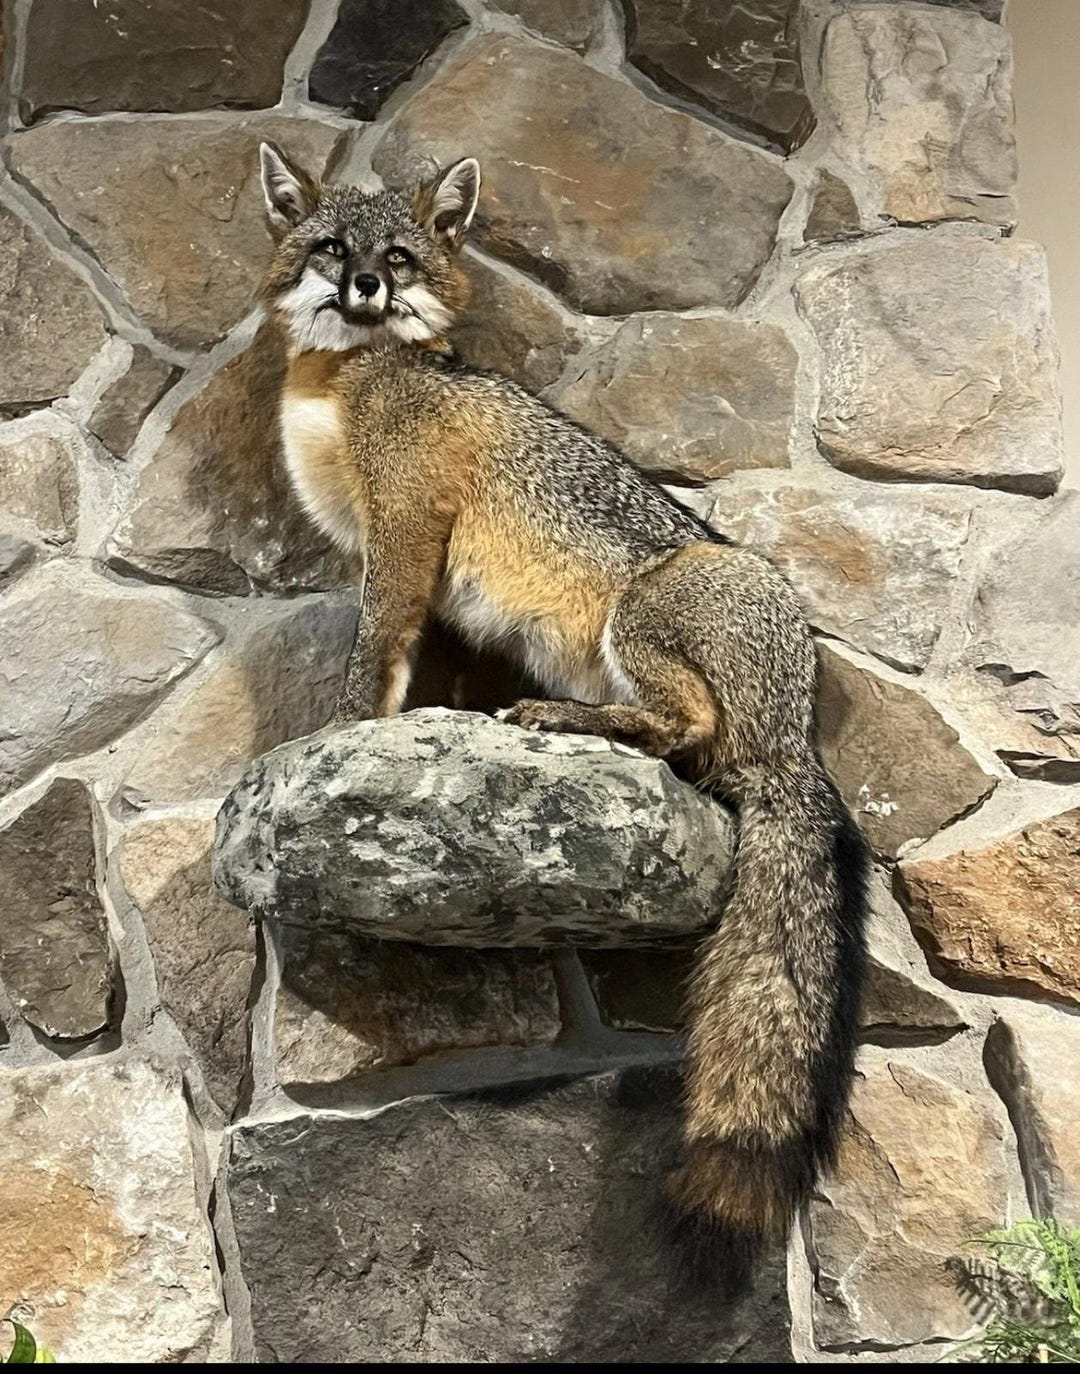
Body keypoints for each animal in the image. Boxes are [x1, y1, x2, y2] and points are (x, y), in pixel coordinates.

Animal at [257, 142, 868, 1288]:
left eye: (395, 257)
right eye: (332, 248)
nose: (364, 288)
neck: (344, 380)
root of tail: (797, 732)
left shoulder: (403, 535)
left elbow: (373, 657)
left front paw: (340, 730)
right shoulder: (392, 557)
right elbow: (408, 662)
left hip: (641, 614)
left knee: (688, 732)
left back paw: (565, 720)